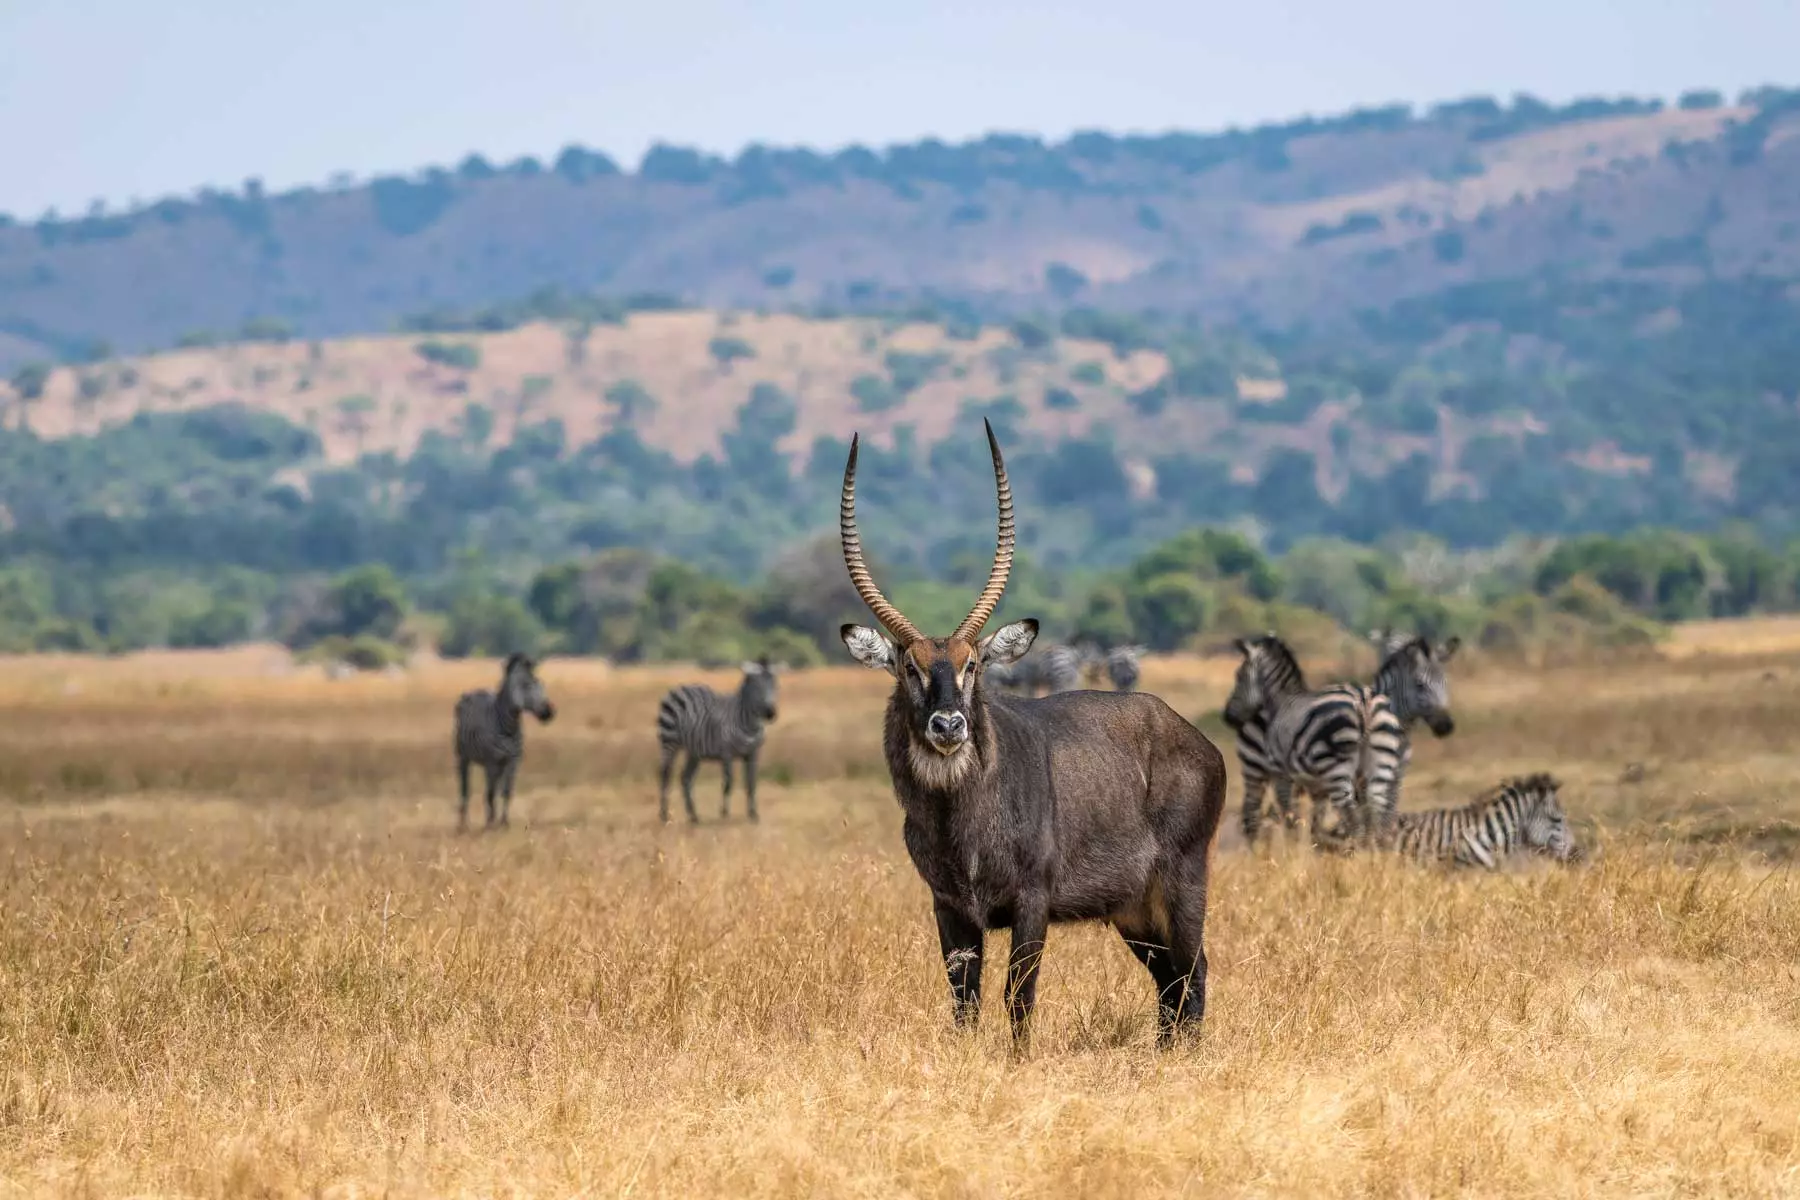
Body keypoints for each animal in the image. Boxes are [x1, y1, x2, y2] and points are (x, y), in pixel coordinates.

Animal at [457, 651, 554, 831]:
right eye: (526, 685)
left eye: (540, 684)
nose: (549, 713)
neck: (508, 726)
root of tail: (476, 691)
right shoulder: (491, 761)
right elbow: (490, 793)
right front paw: (490, 824)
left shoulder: (513, 761)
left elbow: (506, 792)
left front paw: (503, 823)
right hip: (462, 757)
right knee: (465, 789)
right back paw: (463, 825)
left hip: (497, 765)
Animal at [655, 658, 781, 827]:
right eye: (756, 686)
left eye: (775, 684)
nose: (770, 713)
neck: (750, 725)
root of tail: (679, 687)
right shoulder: (726, 752)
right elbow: (729, 782)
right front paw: (724, 813)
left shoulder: (753, 753)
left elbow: (751, 782)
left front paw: (753, 814)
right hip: (669, 741)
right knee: (665, 774)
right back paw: (664, 815)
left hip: (694, 751)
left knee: (685, 778)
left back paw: (693, 816)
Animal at [835, 420, 1231, 1043]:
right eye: (909, 667)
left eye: (974, 664)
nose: (948, 724)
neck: (960, 815)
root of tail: (1197, 739)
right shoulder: (948, 906)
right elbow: (965, 1003)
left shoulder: (1031, 900)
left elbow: (1019, 997)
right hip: (1132, 910)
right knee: (1170, 981)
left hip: (1183, 882)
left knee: (1195, 972)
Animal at [1224, 633, 1404, 849]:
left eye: (1239, 676)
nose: (1227, 717)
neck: (1282, 701)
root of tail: (1364, 701)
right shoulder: (1318, 787)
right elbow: (1315, 822)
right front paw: (1313, 849)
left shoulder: (1282, 773)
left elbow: (1289, 815)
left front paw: (1292, 850)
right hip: (1381, 758)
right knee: (1376, 812)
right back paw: (1372, 854)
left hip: (1332, 766)